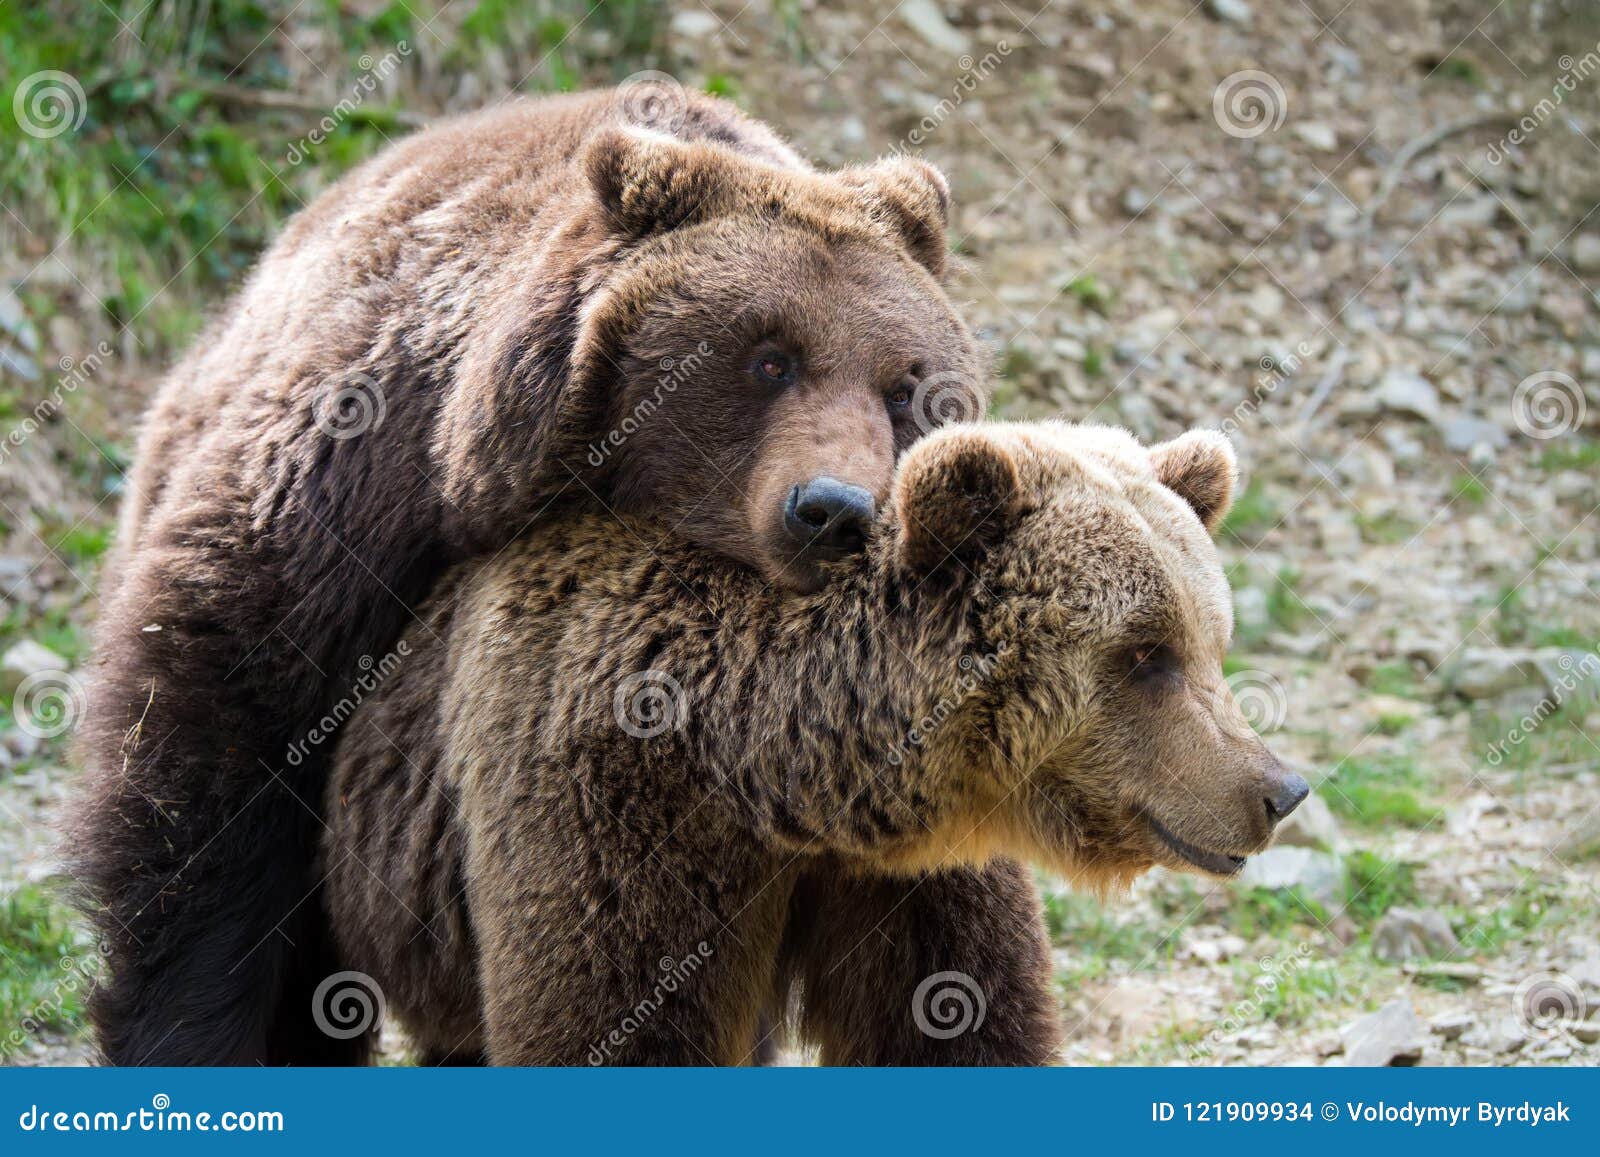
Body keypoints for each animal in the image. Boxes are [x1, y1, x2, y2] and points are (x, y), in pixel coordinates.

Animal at [73, 88, 989, 1066]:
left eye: (904, 386)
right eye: (769, 357)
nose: (833, 509)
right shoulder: (353, 469)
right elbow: (212, 741)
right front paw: (190, 1031)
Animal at [317, 420, 1310, 1065]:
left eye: (1212, 640)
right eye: (1146, 653)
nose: (1279, 789)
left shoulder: (909, 879)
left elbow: (954, 1026)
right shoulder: (604, 808)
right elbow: (605, 1023)